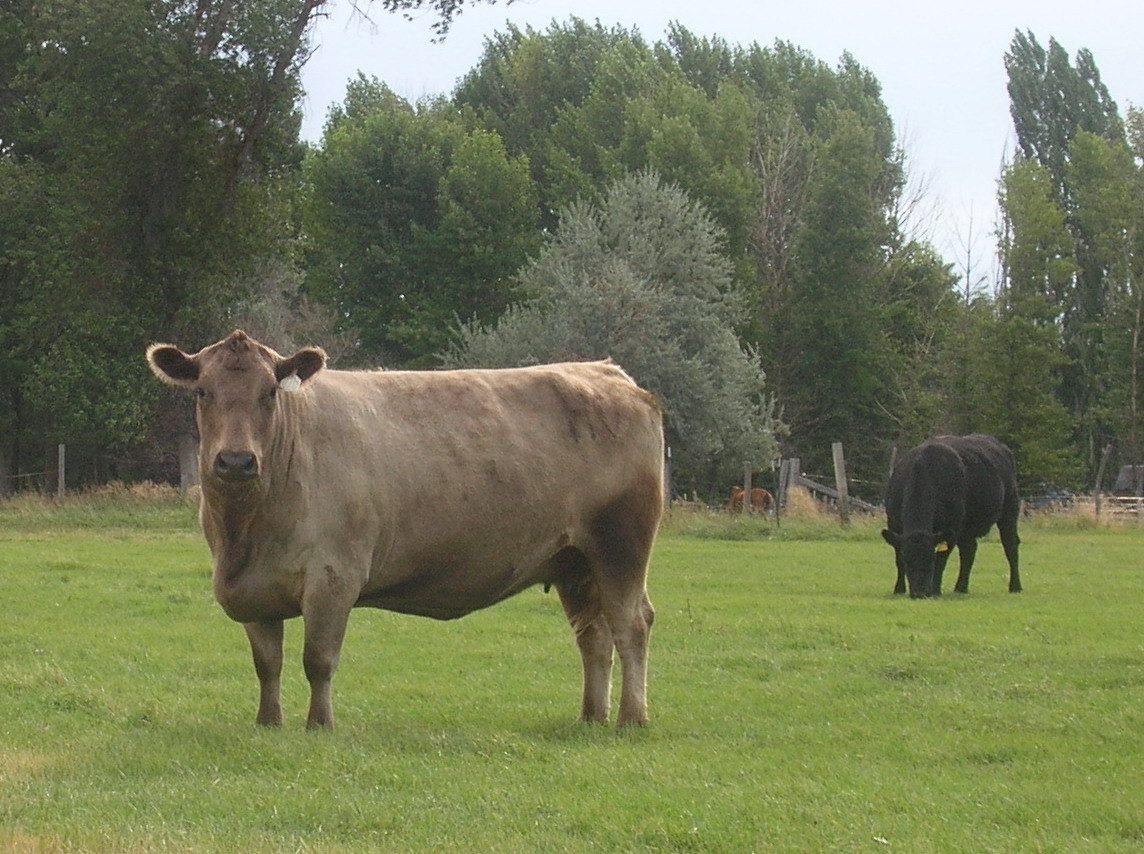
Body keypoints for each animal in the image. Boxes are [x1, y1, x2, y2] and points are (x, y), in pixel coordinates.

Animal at [147, 330, 663, 730]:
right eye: (203, 392)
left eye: (270, 392)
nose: (235, 461)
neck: (244, 534)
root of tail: (607, 372)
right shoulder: (253, 588)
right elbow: (267, 663)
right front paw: (268, 723)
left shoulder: (333, 578)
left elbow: (318, 660)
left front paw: (319, 724)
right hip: (575, 560)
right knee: (593, 635)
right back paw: (591, 717)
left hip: (621, 544)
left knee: (631, 624)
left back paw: (631, 718)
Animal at [881, 433, 1022, 599]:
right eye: (907, 560)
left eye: (930, 560)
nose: (920, 593)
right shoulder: (894, 525)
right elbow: (897, 559)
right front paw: (899, 589)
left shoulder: (951, 528)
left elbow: (941, 560)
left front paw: (935, 590)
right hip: (967, 526)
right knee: (969, 550)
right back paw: (961, 587)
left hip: (1010, 508)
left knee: (1010, 545)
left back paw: (1015, 586)